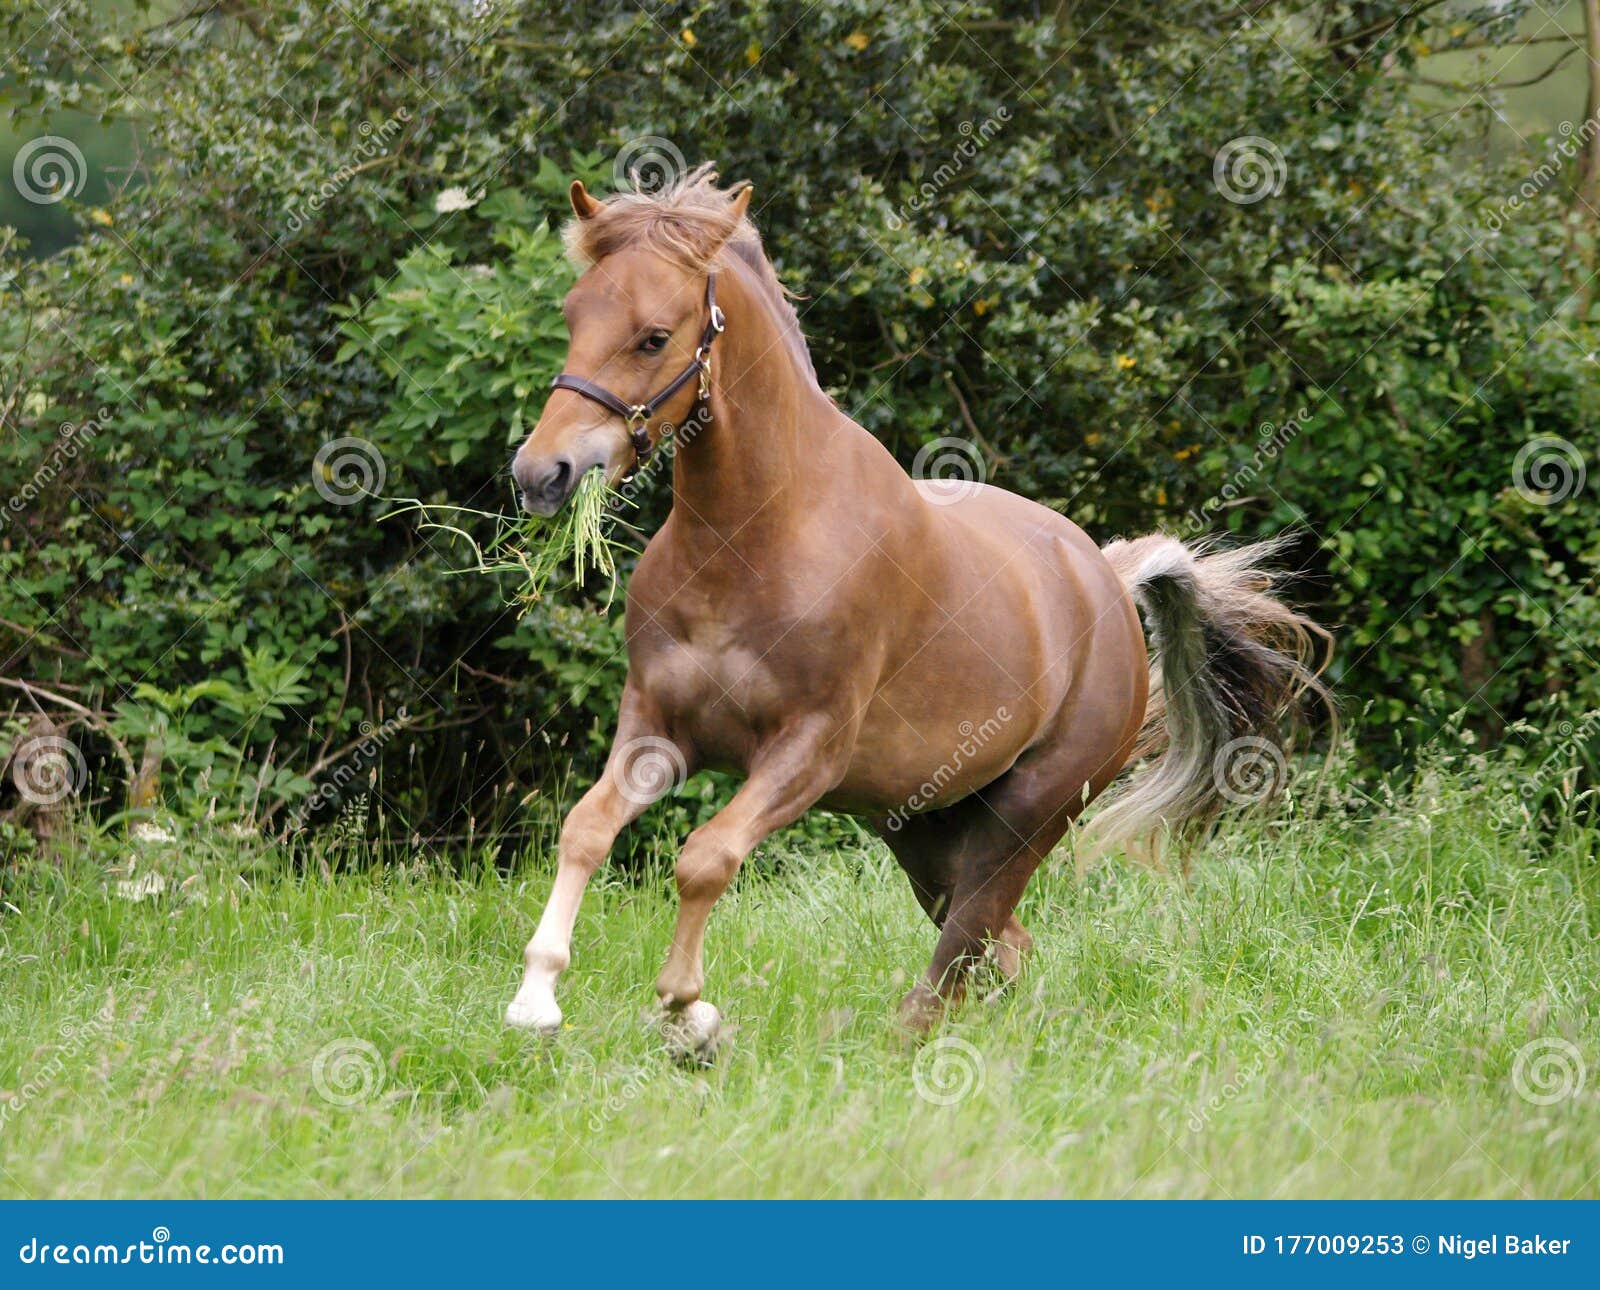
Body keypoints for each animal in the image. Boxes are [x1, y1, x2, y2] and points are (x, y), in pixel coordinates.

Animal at [505, 165, 1326, 1052]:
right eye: (573, 314)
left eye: (654, 336)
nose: (541, 472)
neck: (754, 539)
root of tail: (1107, 580)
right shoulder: (658, 724)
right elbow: (587, 828)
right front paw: (536, 998)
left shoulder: (807, 749)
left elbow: (705, 858)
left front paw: (691, 1016)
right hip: (921, 826)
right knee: (998, 943)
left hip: (1028, 816)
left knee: (966, 942)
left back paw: (908, 1042)